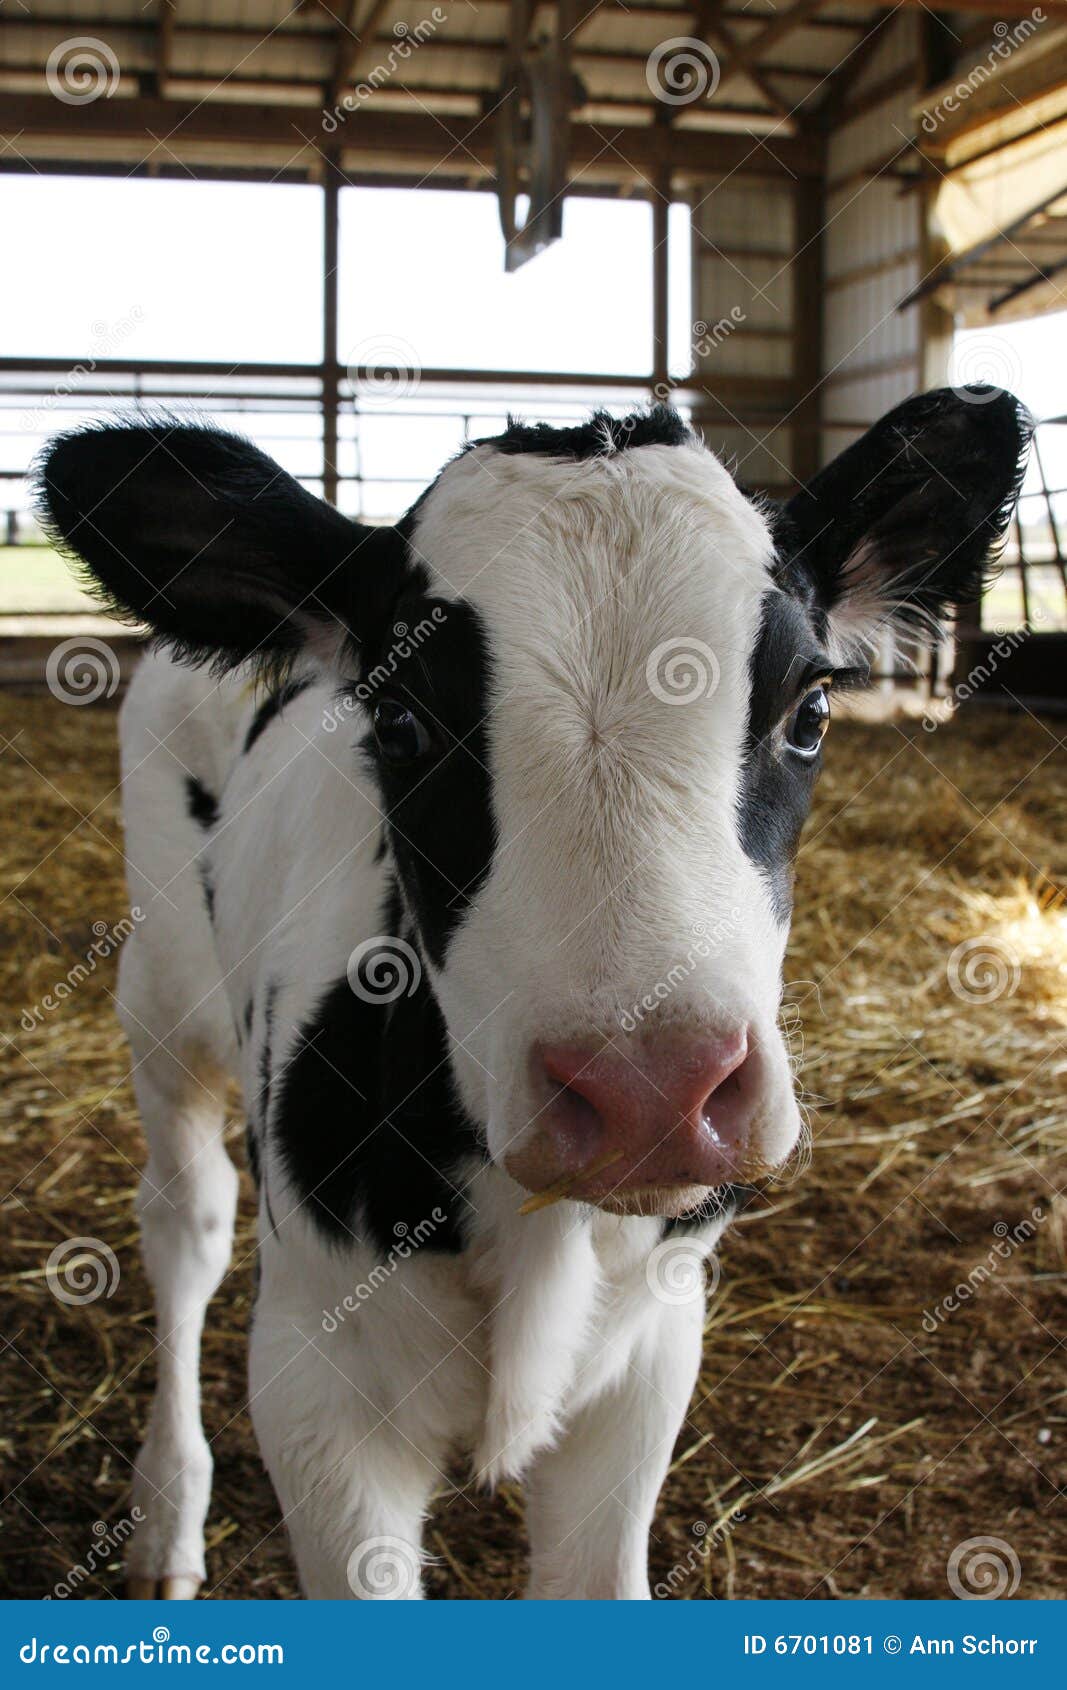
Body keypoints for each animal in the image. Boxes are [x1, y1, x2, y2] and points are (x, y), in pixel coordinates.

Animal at [38, 389, 1027, 1600]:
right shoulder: (316, 1383)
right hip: (162, 1000)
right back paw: (166, 1518)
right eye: (399, 720)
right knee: (187, 1224)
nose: (650, 1093)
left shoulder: (651, 1352)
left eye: (808, 710)